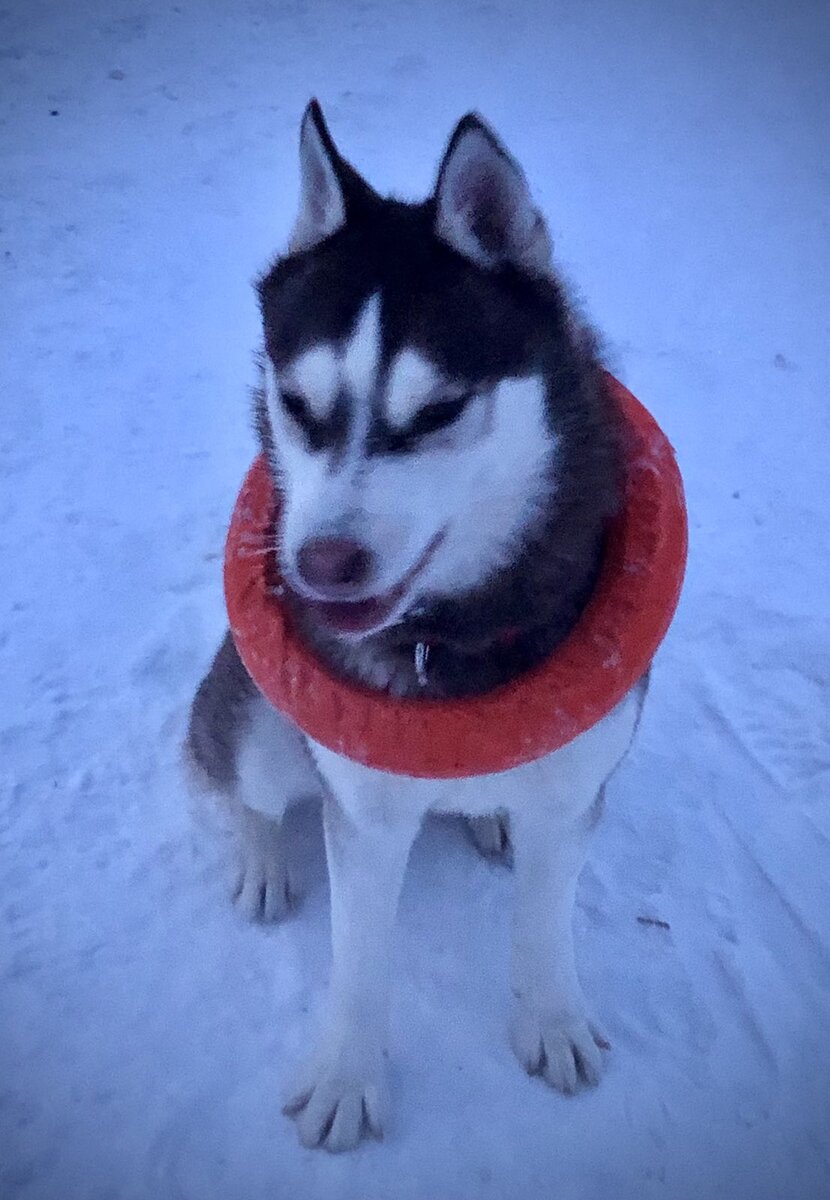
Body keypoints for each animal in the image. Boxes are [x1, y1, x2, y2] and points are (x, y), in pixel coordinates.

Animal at [189, 103, 647, 1152]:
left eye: (438, 412)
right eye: (298, 406)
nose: (319, 567)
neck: (459, 634)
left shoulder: (575, 789)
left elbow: (546, 923)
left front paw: (552, 1022)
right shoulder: (362, 812)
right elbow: (359, 962)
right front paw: (347, 1081)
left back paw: (487, 816)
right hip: (261, 726)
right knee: (245, 787)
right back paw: (262, 860)